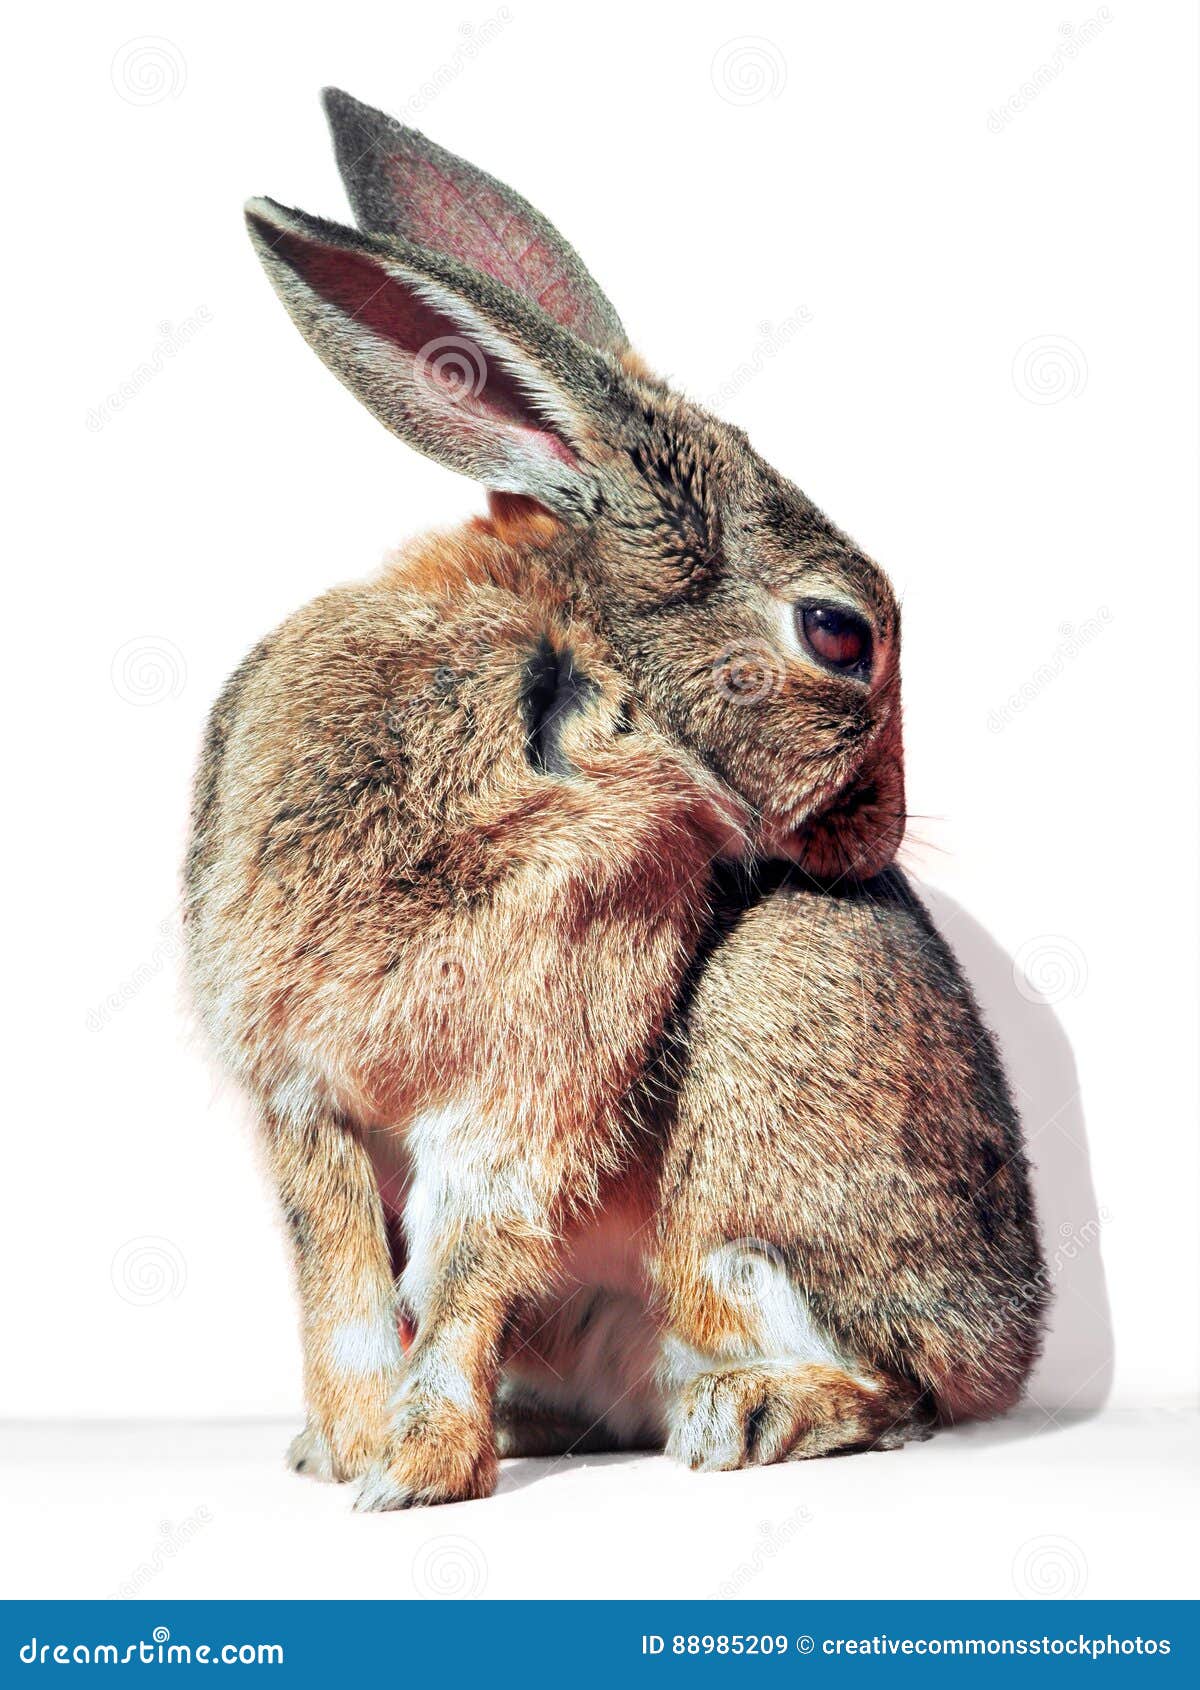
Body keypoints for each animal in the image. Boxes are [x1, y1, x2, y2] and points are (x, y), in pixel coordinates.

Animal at [185, 89, 1044, 1508]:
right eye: (840, 634)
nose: (879, 831)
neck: (587, 669)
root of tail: (1014, 1346)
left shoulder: (539, 1061)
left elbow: (466, 1259)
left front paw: (411, 1469)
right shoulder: (303, 1091)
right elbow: (344, 1279)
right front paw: (350, 1451)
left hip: (762, 1096)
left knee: (894, 1384)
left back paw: (750, 1413)